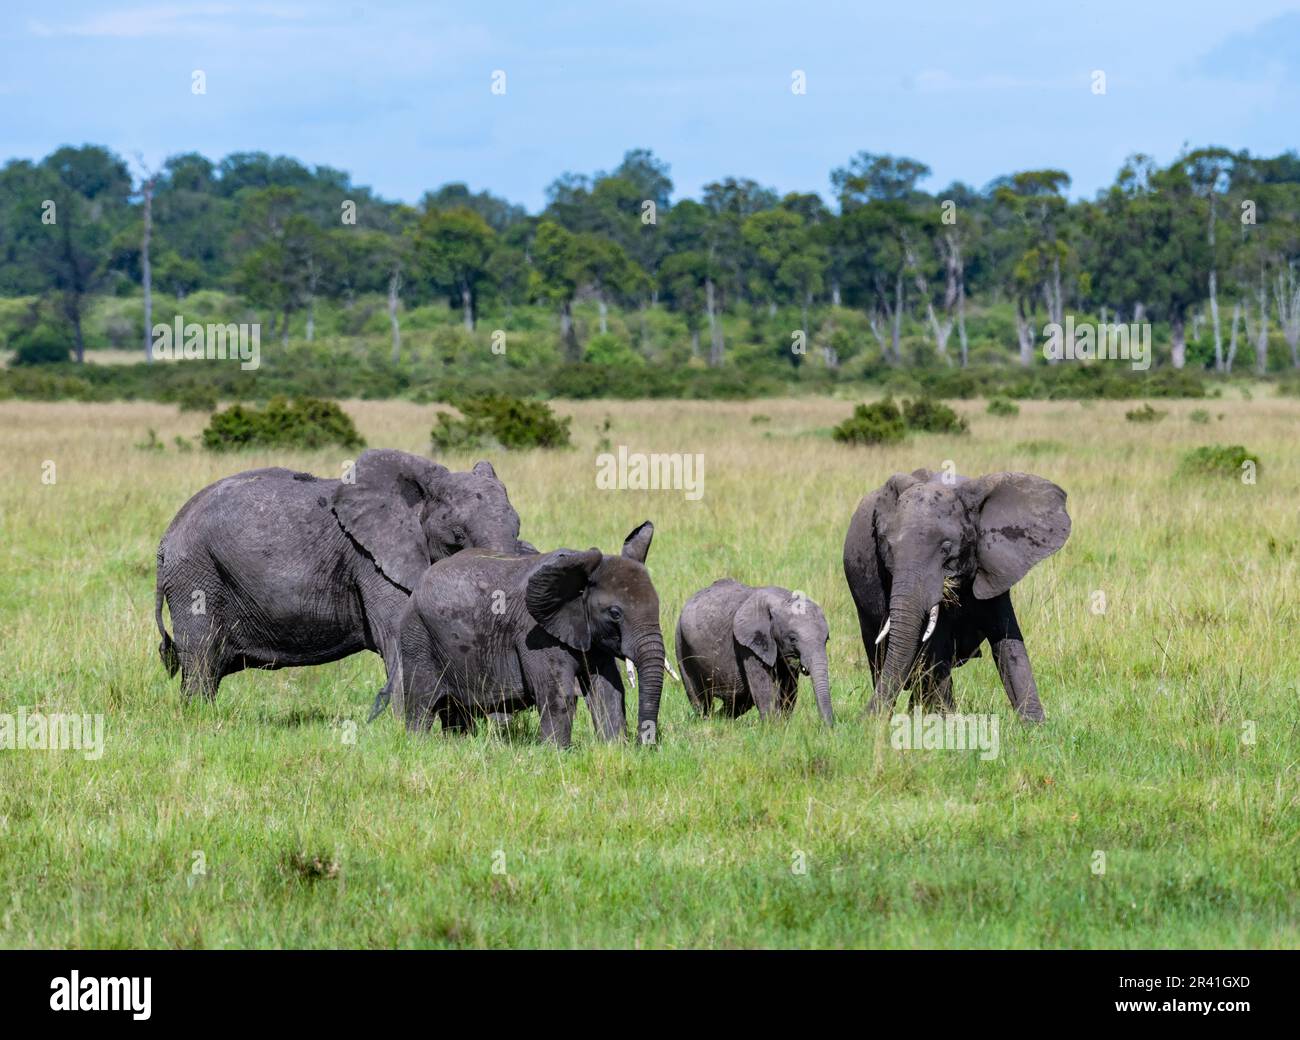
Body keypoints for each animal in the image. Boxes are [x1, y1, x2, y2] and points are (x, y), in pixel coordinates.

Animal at [154, 449, 527, 711]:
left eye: (517, 527)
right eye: (457, 538)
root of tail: (167, 537)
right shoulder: (370, 561)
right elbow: (398, 635)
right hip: (197, 574)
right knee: (201, 654)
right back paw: (200, 718)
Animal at [395, 522, 664, 747]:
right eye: (615, 614)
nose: (645, 744)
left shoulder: (591, 635)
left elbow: (608, 690)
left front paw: (614, 749)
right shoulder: (536, 633)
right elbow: (559, 694)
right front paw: (556, 753)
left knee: (455, 710)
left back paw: (459, 743)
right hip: (417, 635)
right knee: (422, 702)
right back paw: (417, 744)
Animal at [675, 581, 833, 725]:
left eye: (826, 639)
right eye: (792, 639)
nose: (828, 729)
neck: (781, 600)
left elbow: (788, 688)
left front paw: (783, 727)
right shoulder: (748, 645)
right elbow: (763, 689)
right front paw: (773, 727)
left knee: (739, 701)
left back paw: (720, 721)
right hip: (681, 641)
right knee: (699, 697)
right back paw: (707, 721)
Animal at [843, 469, 1070, 722]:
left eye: (946, 548)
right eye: (888, 548)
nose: (860, 721)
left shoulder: (991, 565)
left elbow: (1009, 641)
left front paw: (1035, 726)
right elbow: (935, 648)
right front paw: (947, 723)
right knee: (880, 657)